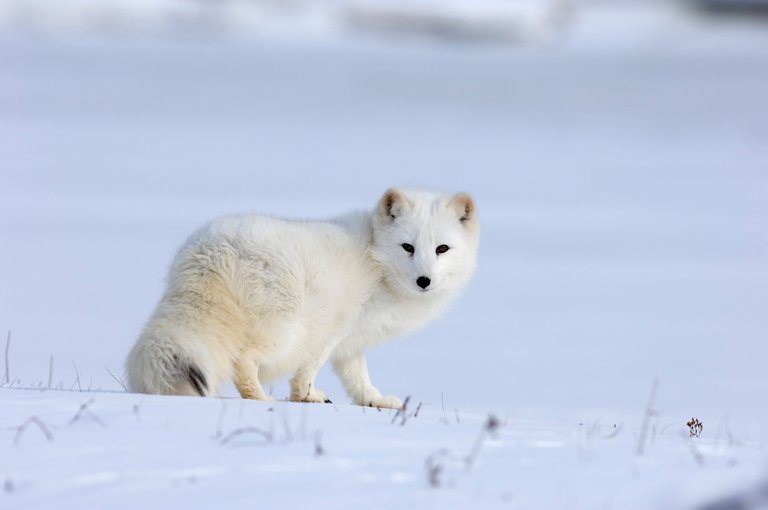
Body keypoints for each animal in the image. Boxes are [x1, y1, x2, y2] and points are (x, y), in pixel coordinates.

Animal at [126, 188, 479, 409]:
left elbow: (358, 378)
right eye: (407, 247)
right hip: (285, 331)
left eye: (442, 249)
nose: (424, 280)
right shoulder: (331, 330)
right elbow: (308, 369)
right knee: (243, 361)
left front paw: (375, 401)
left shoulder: (351, 343)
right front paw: (305, 398)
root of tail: (211, 250)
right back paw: (261, 400)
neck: (376, 260)